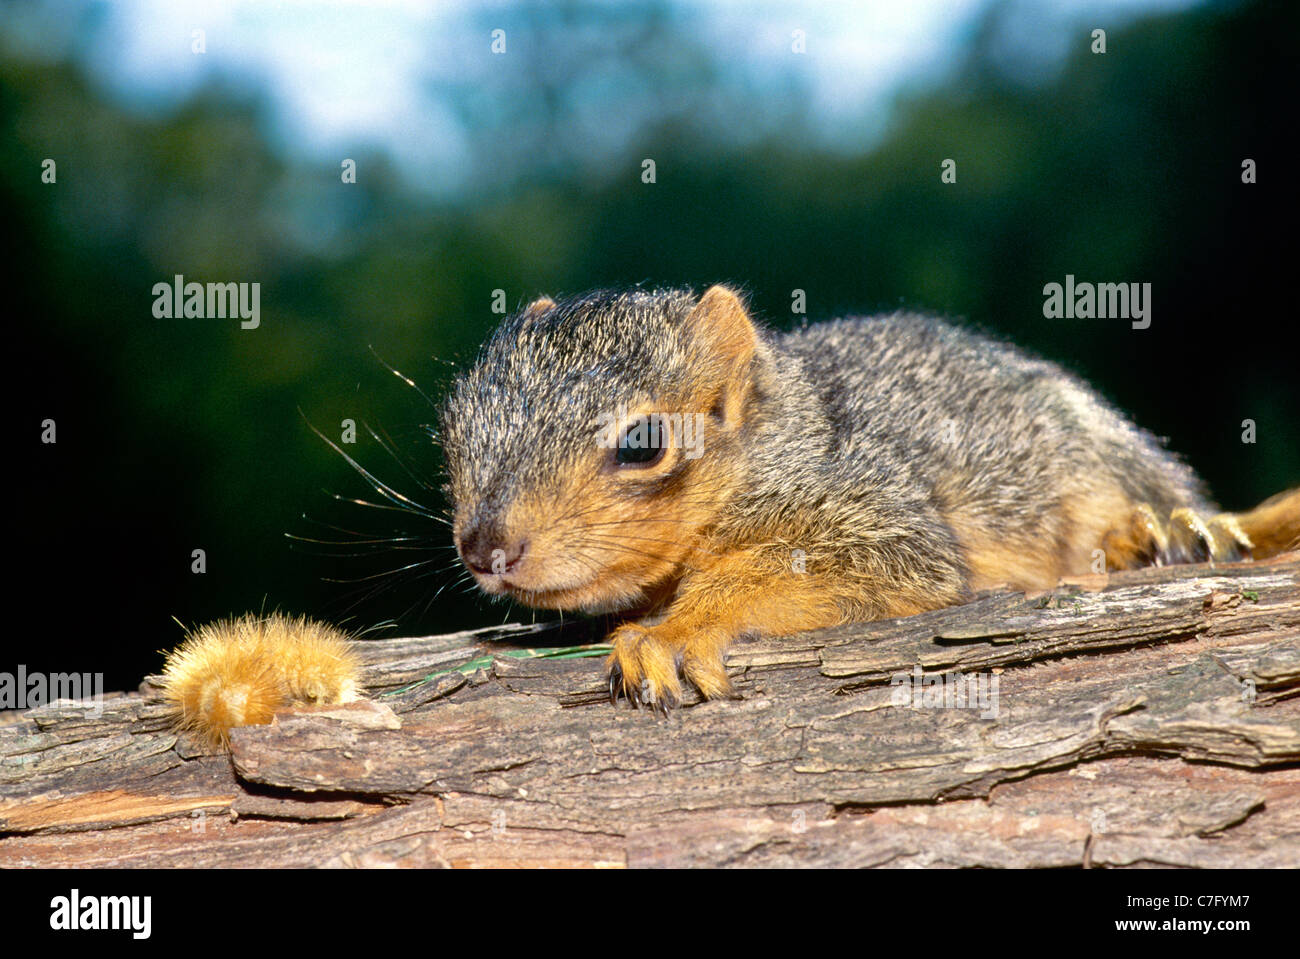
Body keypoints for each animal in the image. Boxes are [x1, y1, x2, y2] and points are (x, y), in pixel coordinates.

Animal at [160, 283, 1299, 738]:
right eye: (452, 433)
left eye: (642, 445)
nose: (484, 548)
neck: (771, 447)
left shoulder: (880, 519)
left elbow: (813, 571)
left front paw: (673, 629)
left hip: (1102, 457)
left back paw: (1155, 530)